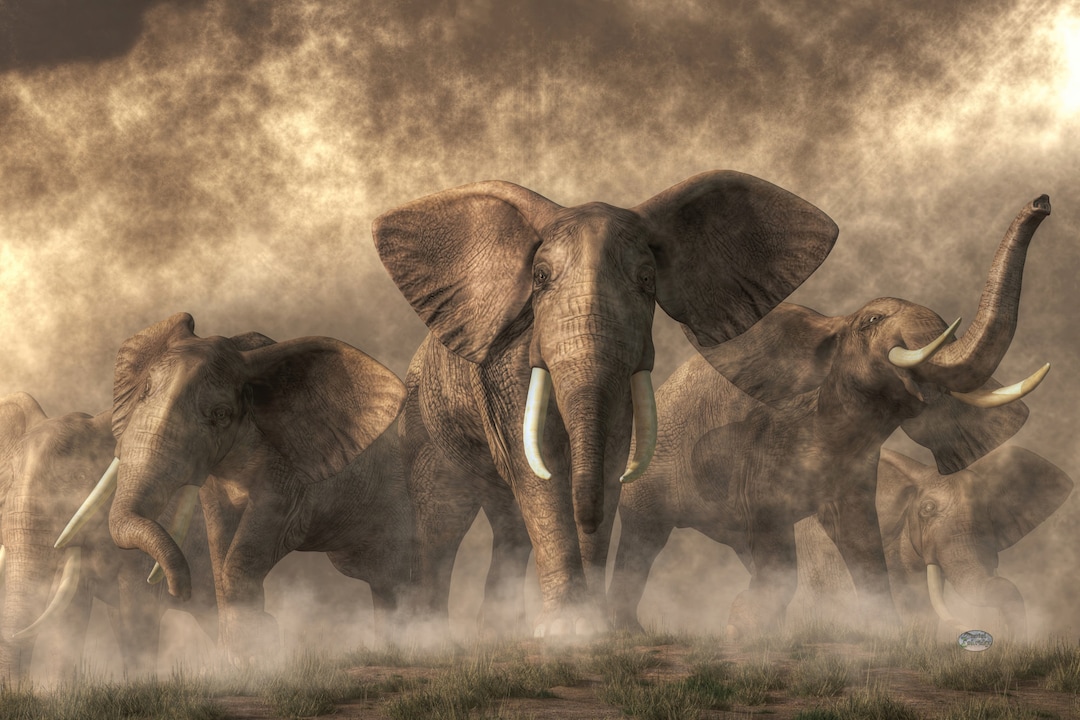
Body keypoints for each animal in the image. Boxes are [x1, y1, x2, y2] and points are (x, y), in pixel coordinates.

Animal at [60, 315, 411, 662]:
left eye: (221, 415)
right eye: (145, 391)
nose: (179, 591)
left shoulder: (287, 466)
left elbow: (253, 542)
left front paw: (252, 654)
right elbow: (219, 537)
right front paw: (234, 657)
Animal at [372, 170, 839, 637]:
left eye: (647, 280)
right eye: (539, 277)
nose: (588, 520)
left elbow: (611, 453)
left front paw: (596, 627)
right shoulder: (508, 359)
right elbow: (539, 467)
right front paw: (566, 631)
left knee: (508, 525)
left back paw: (498, 629)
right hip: (423, 421)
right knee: (442, 521)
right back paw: (430, 635)